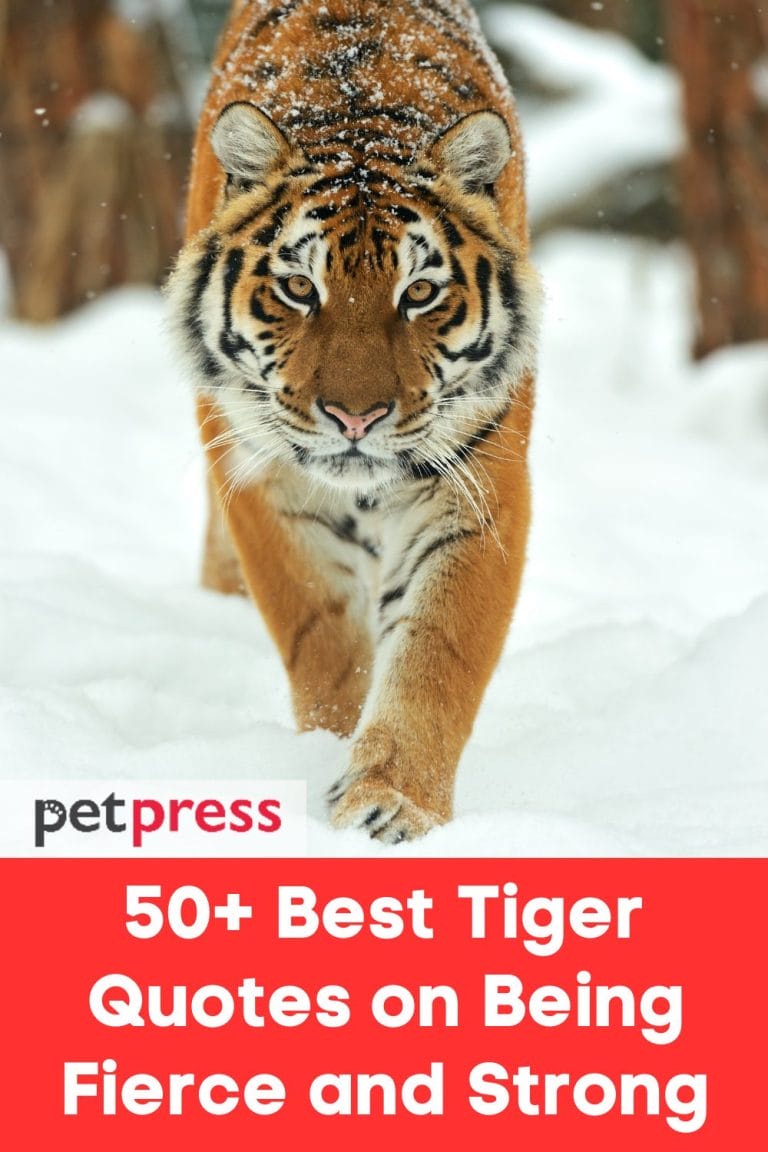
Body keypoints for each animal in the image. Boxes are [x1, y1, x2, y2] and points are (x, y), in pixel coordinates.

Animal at [166, 0, 542, 843]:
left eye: (420, 293)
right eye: (300, 289)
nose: (354, 416)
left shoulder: (477, 485)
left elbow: (436, 653)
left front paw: (393, 804)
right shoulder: (263, 479)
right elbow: (326, 641)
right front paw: (327, 758)